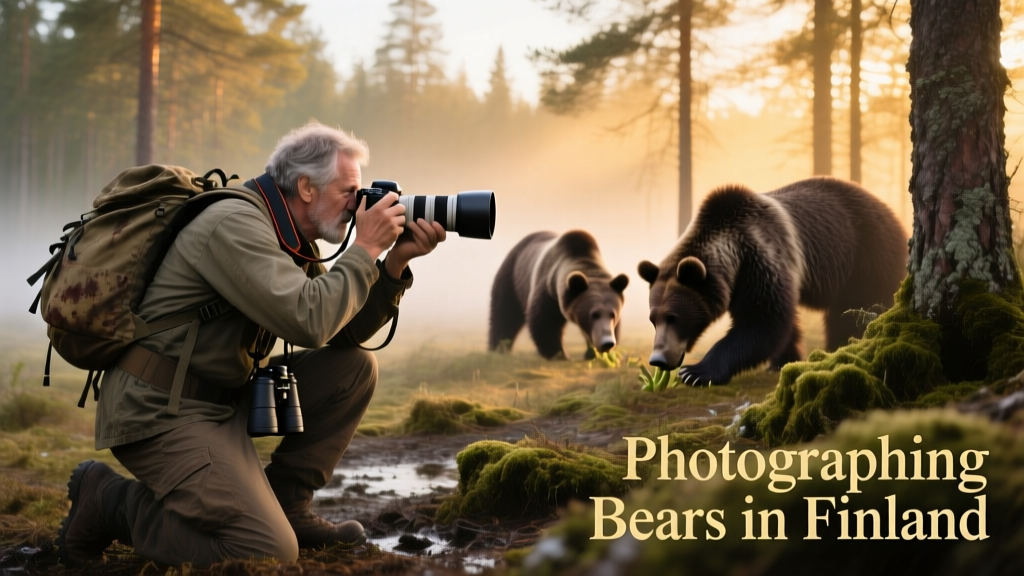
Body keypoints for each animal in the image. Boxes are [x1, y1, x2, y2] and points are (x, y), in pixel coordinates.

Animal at [489, 230, 630, 359]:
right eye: (594, 314)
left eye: (613, 314)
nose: (607, 343)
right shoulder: (549, 291)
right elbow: (545, 322)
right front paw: (559, 354)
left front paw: (592, 354)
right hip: (512, 278)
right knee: (505, 314)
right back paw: (498, 348)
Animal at [637, 177, 908, 386]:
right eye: (653, 319)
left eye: (674, 317)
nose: (658, 359)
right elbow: (779, 323)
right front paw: (782, 360)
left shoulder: (761, 259)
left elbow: (763, 320)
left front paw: (696, 372)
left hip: (867, 254)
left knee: (860, 308)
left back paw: (841, 347)